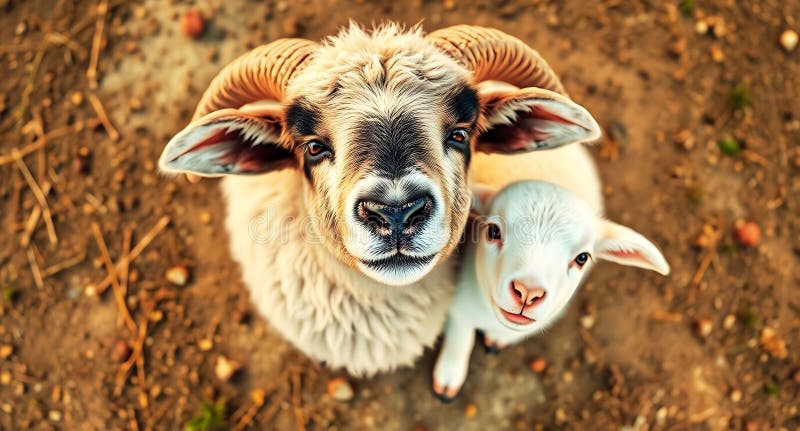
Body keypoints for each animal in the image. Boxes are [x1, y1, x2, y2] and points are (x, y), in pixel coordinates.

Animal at [431, 176, 670, 400]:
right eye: (493, 231)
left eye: (582, 258)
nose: (528, 292)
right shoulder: (459, 307)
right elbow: (460, 339)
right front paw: (448, 378)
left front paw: (497, 340)